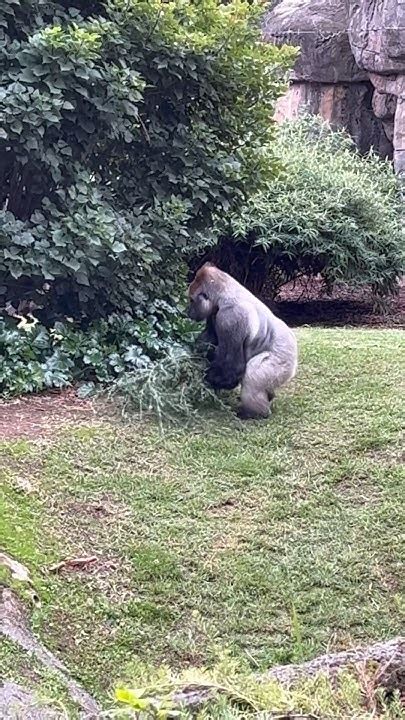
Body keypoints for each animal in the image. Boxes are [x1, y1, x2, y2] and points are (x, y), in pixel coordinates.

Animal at [188, 263, 297, 419]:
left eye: (191, 300)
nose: (188, 312)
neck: (225, 291)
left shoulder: (231, 318)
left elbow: (233, 368)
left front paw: (206, 380)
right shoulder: (215, 312)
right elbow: (208, 341)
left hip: (283, 363)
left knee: (253, 374)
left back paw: (254, 413)